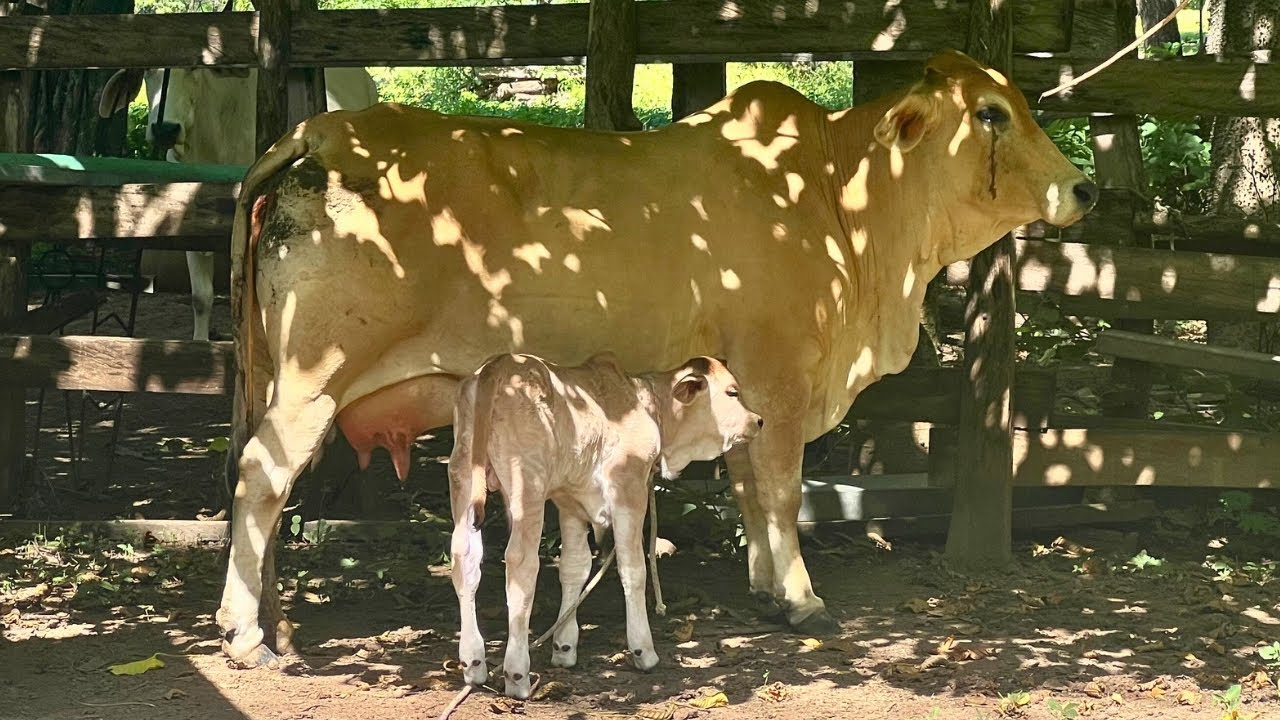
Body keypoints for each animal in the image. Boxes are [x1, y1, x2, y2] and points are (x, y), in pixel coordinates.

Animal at [449, 353, 762, 698]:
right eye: (732, 392)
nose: (758, 420)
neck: (649, 407)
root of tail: (498, 364)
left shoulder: (570, 502)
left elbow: (574, 567)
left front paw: (564, 646)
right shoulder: (628, 487)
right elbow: (633, 568)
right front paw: (643, 650)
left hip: (462, 476)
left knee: (464, 560)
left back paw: (473, 662)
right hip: (527, 484)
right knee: (520, 566)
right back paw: (517, 673)